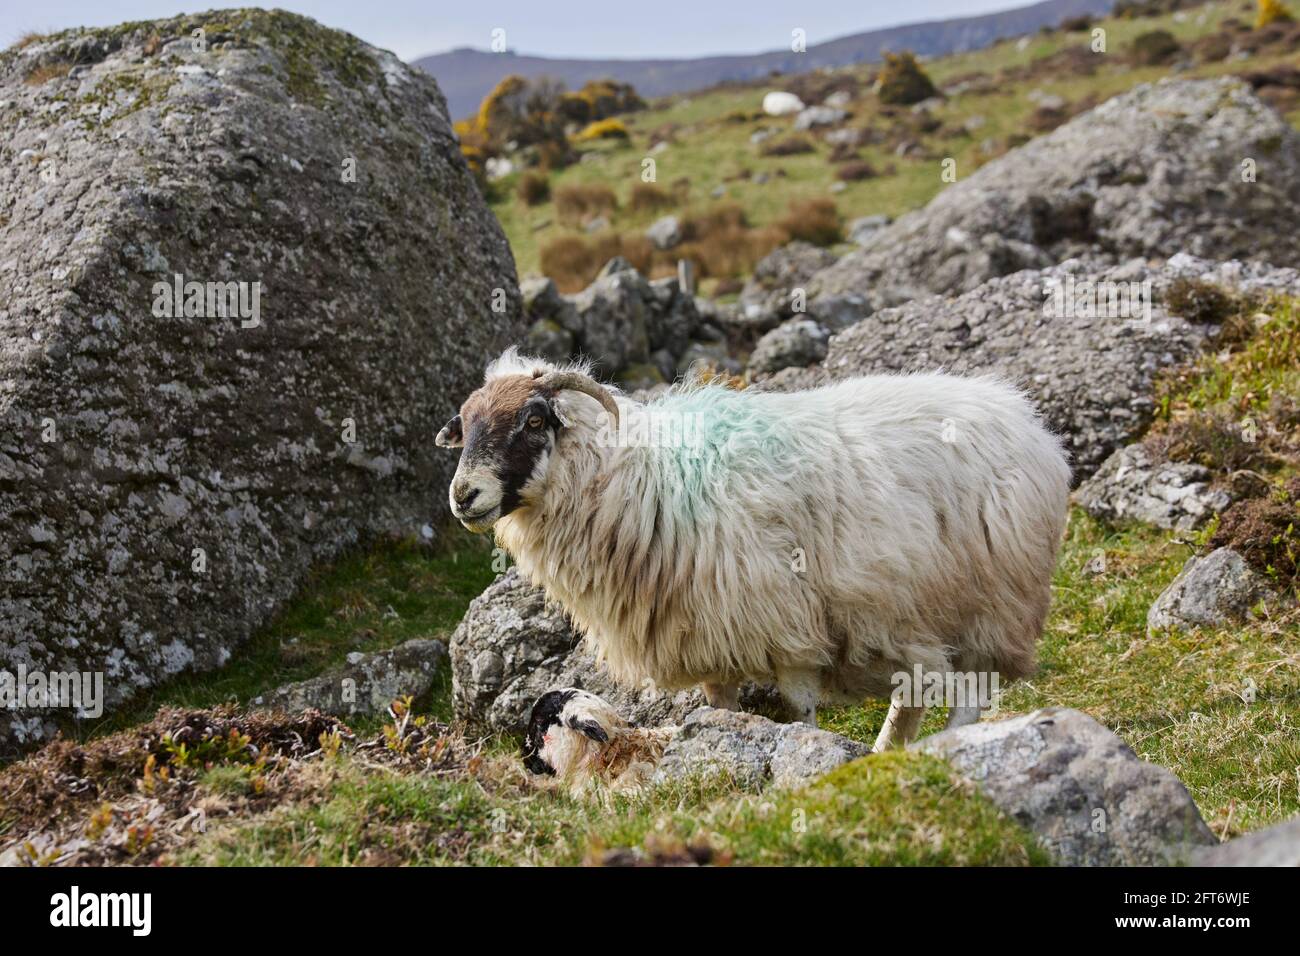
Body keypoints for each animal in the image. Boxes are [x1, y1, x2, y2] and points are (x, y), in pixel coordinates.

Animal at [437, 348, 1070, 749]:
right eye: (465, 425)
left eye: (533, 420)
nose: (464, 495)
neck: (635, 479)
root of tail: (1025, 419)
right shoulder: (707, 639)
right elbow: (722, 711)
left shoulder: (788, 625)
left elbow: (801, 712)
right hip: (921, 615)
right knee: (913, 692)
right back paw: (890, 752)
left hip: (991, 605)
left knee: (969, 698)